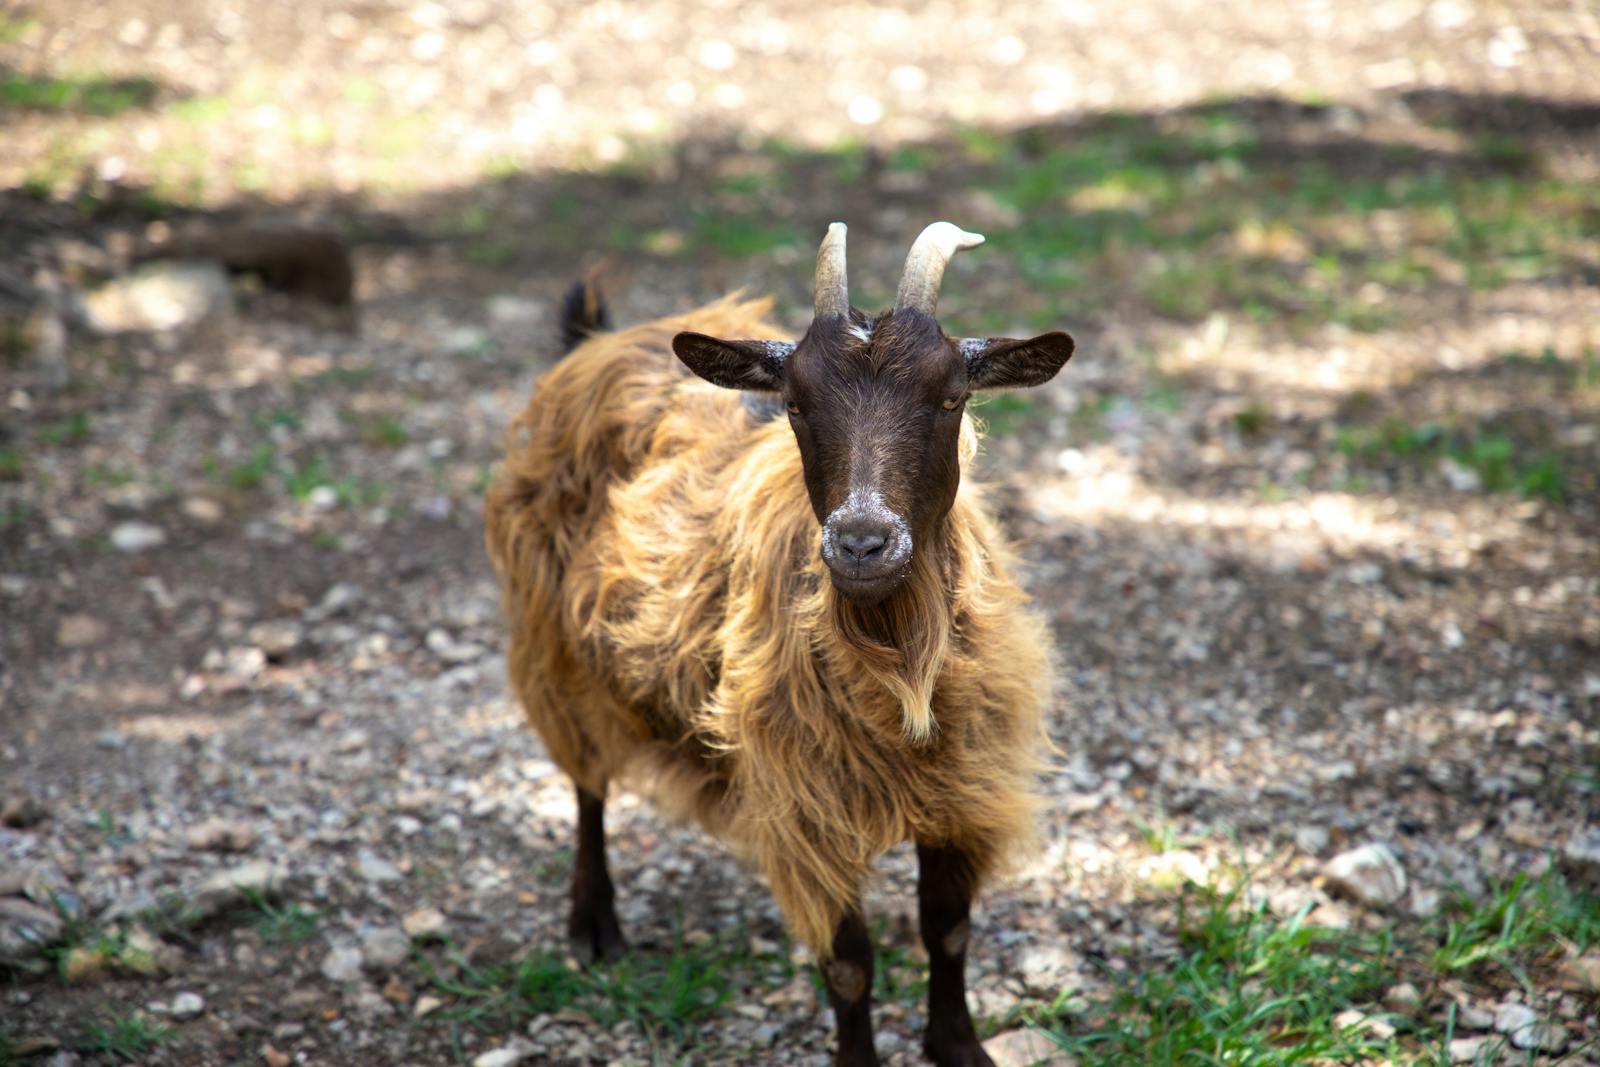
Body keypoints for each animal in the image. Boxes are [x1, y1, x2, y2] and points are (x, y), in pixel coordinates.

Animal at [484, 221, 1076, 1067]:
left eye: (952, 398)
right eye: (795, 403)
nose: (862, 540)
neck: (895, 657)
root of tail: (597, 341)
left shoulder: (962, 786)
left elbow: (949, 929)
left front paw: (958, 1046)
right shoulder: (808, 808)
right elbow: (849, 963)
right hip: (551, 643)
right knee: (586, 782)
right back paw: (593, 923)